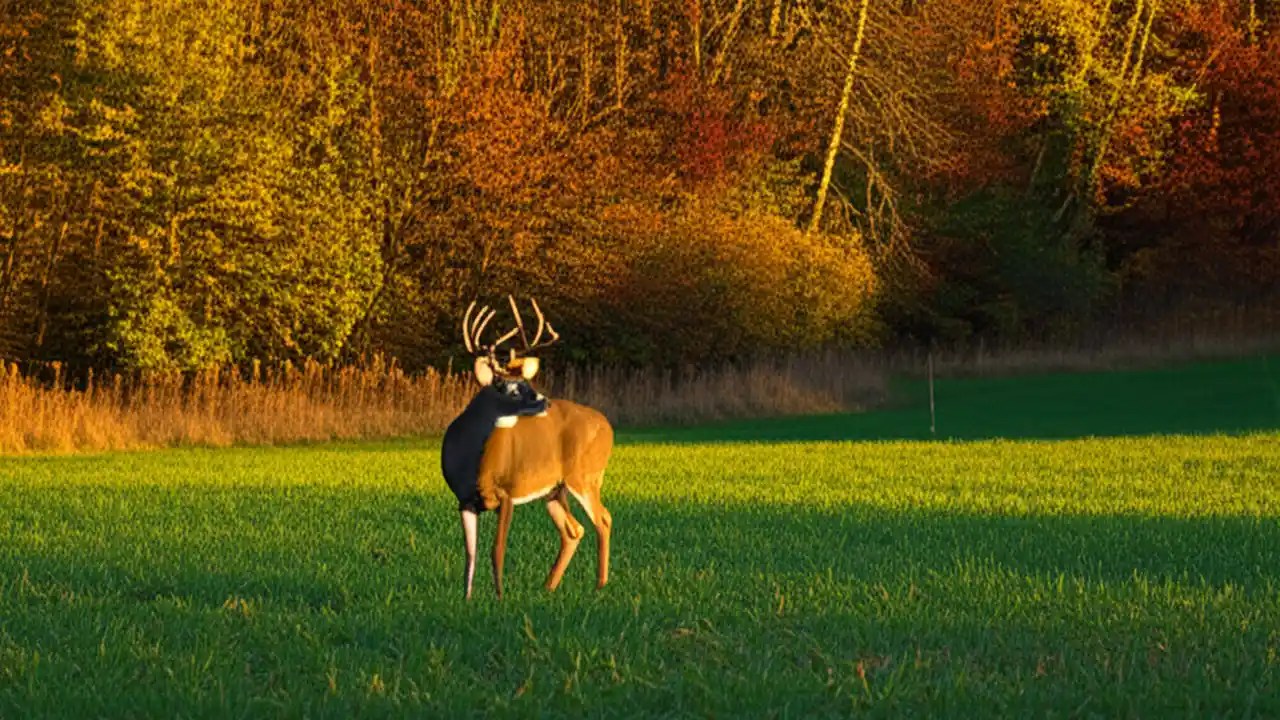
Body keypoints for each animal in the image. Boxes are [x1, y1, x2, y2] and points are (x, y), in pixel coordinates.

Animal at [440, 296, 614, 600]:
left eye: (527, 382)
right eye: (510, 388)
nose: (545, 400)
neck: (469, 462)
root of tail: (608, 426)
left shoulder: (507, 492)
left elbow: (496, 551)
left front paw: (499, 598)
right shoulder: (464, 501)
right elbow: (470, 556)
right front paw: (467, 599)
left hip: (585, 476)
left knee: (603, 519)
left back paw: (599, 586)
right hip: (554, 489)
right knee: (574, 530)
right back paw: (548, 587)